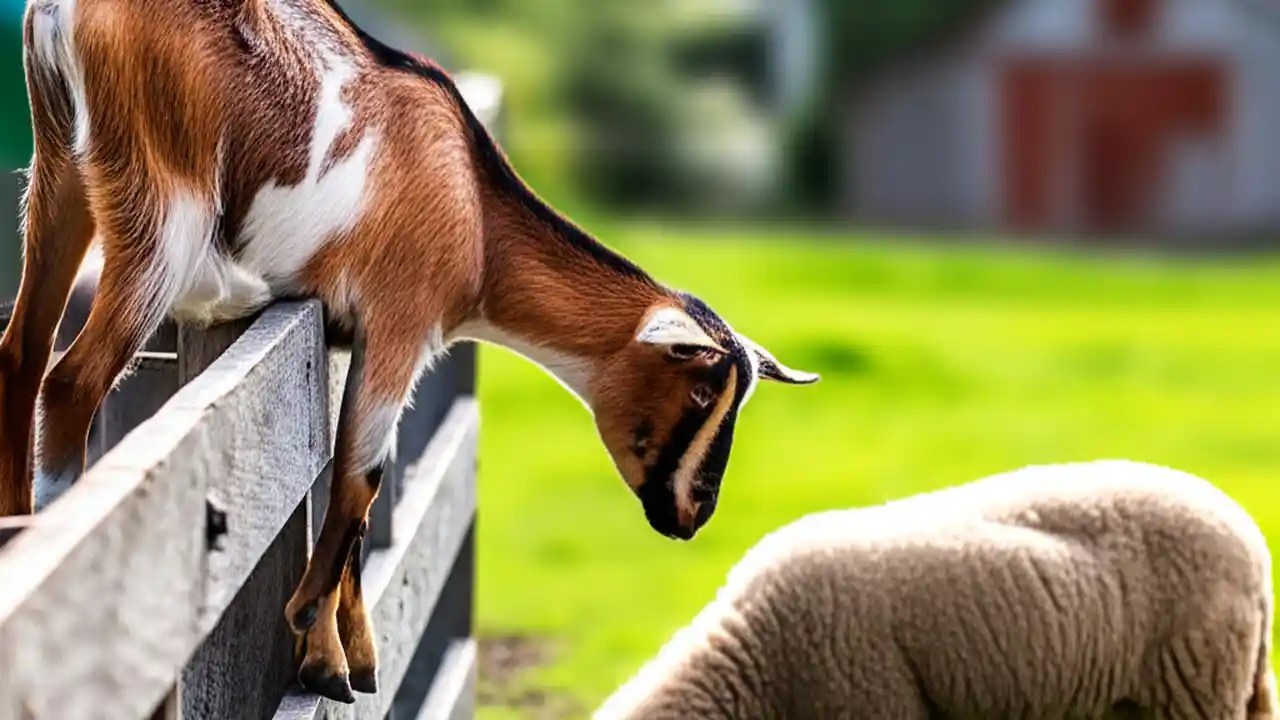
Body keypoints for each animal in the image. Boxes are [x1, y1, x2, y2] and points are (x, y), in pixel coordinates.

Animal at [0, 0, 818, 703]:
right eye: (704, 390)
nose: (695, 512)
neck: (477, 221)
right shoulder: (399, 323)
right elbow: (361, 479)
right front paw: (319, 642)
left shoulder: (343, 338)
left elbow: (354, 486)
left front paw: (344, 655)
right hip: (163, 201)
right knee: (72, 380)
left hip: (63, 168)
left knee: (21, 351)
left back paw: (16, 529)